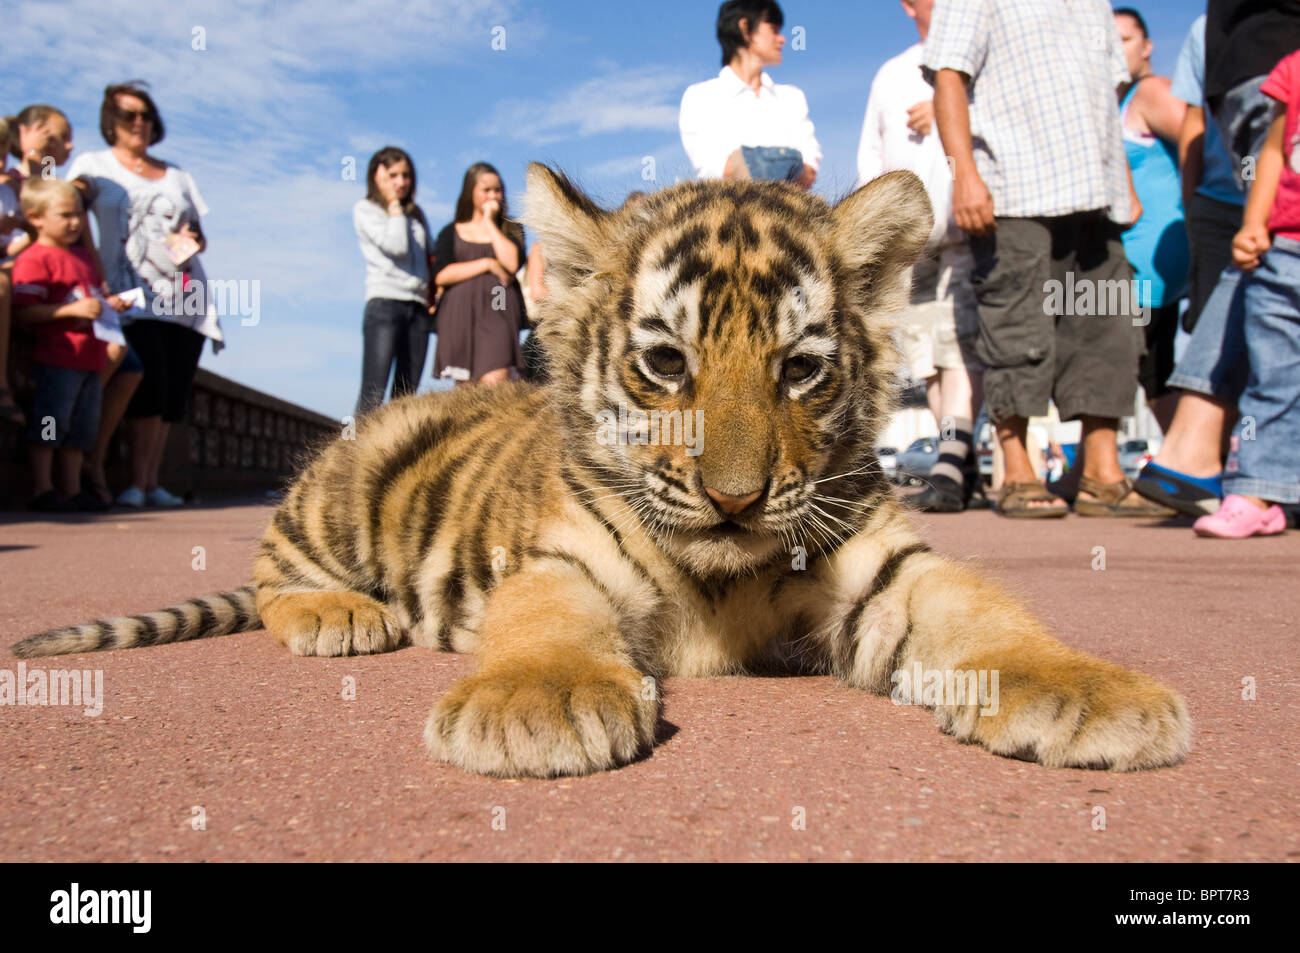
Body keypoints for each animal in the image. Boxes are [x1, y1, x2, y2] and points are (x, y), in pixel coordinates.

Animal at [12, 163, 1192, 778]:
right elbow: (544, 620)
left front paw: (1088, 691)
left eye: (800, 368)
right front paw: (536, 700)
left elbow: (986, 608)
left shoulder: (883, 563)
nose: (734, 497)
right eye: (666, 363)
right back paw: (340, 614)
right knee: (270, 570)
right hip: (345, 478)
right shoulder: (568, 559)